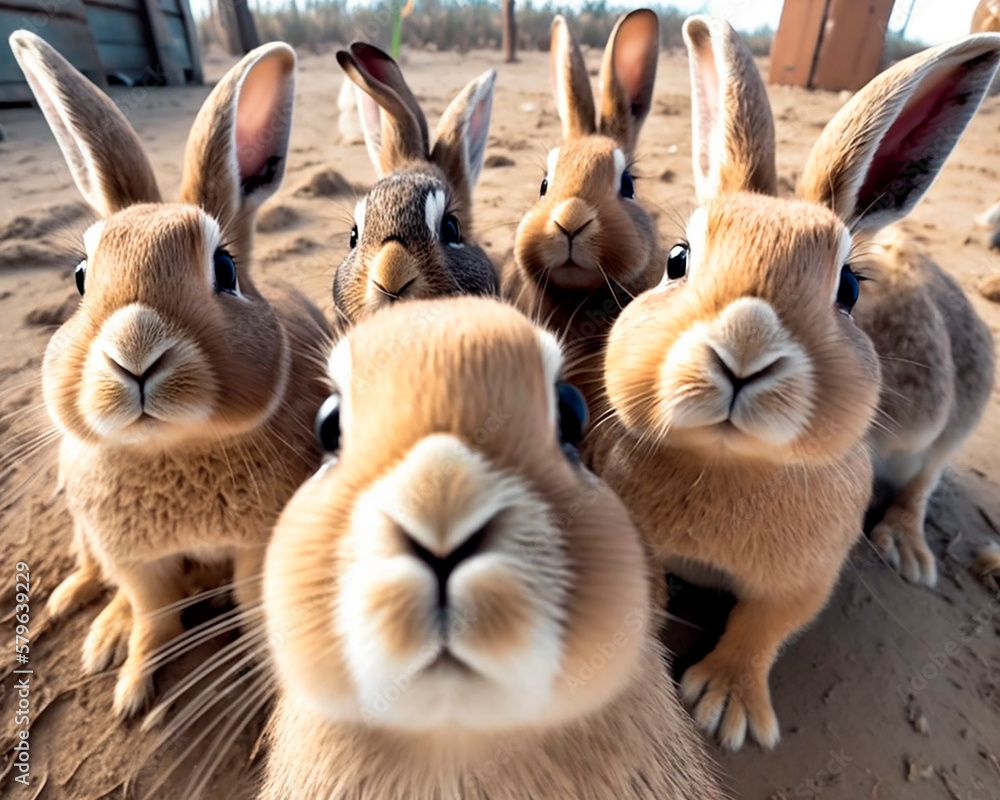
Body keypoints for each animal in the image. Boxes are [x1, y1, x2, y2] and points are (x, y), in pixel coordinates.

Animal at [10, 32, 331, 718]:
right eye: (80, 277)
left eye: (225, 270)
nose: (136, 355)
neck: (172, 447)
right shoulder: (136, 559)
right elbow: (153, 616)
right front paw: (131, 691)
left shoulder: (254, 547)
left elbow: (251, 609)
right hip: (85, 530)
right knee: (94, 574)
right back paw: (88, 621)